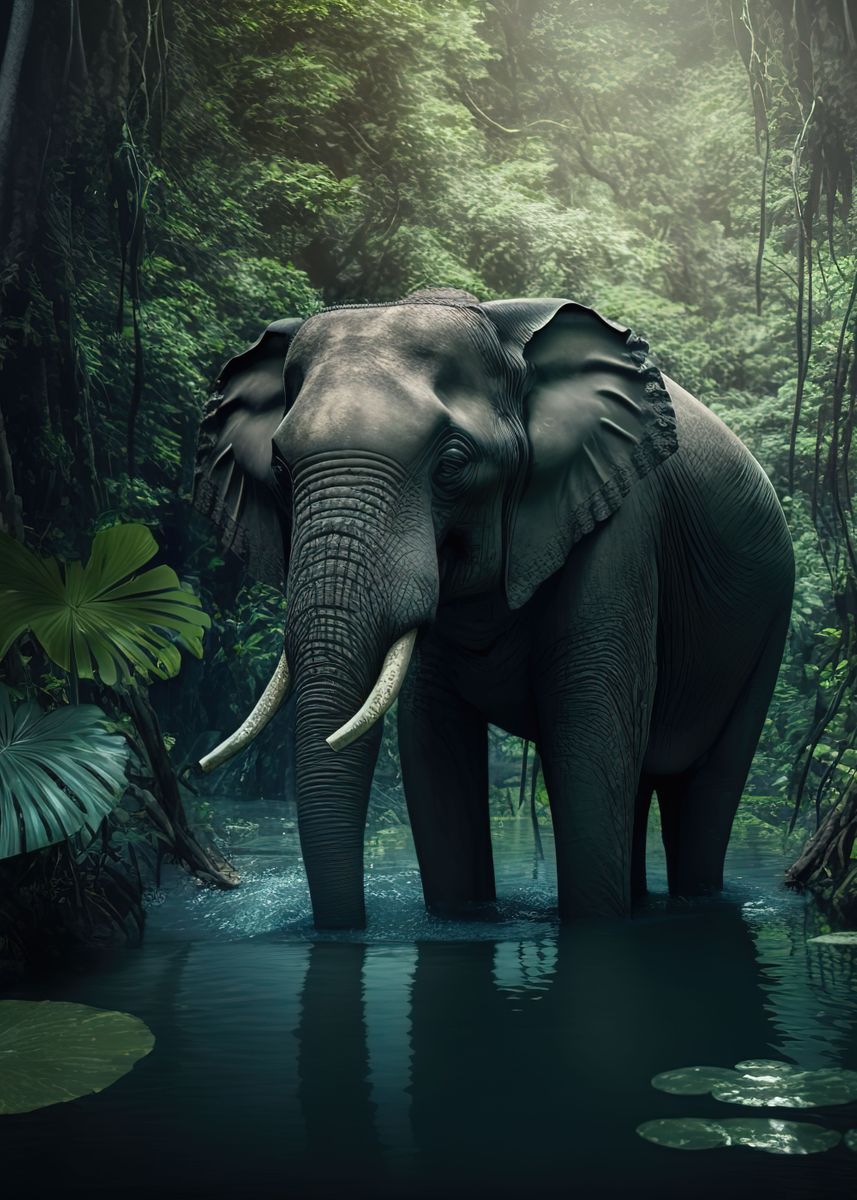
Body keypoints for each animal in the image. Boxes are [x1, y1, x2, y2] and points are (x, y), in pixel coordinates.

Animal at [193, 287, 794, 929]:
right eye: (279, 469)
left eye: (452, 464)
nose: (350, 930)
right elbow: (432, 741)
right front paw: (463, 918)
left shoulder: (621, 525)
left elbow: (588, 733)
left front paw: (597, 927)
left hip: (767, 625)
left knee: (708, 787)